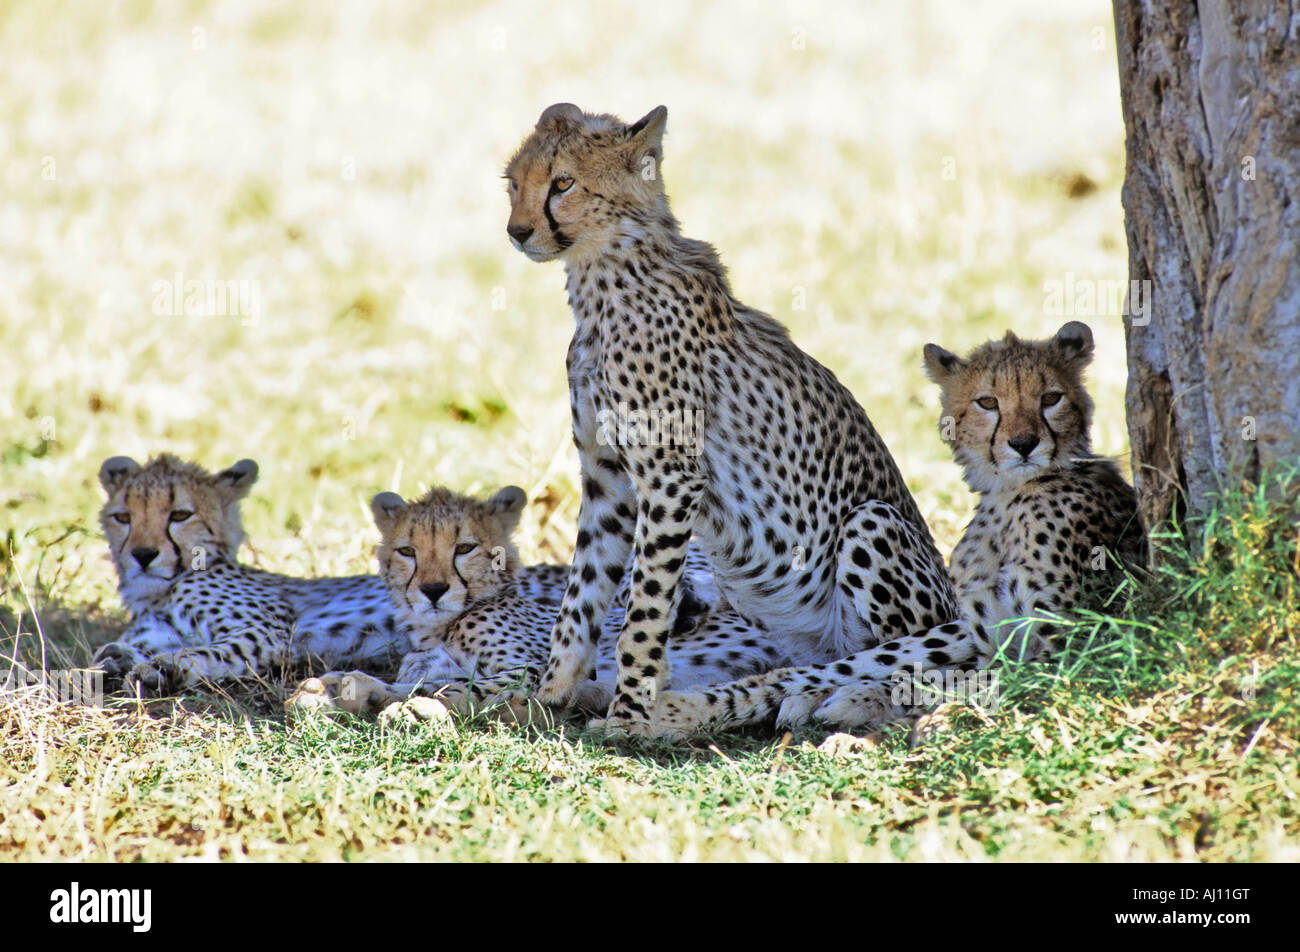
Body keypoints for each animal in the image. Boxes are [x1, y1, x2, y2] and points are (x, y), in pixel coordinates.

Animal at [286, 484, 792, 719]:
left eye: (464, 548)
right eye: (407, 551)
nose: (432, 590)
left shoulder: (537, 668)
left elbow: (458, 687)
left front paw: (411, 705)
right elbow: (421, 677)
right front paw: (342, 689)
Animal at [503, 102, 961, 730]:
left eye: (563, 184)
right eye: (512, 184)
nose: (517, 231)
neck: (605, 279)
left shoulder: (671, 476)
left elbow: (645, 606)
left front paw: (629, 714)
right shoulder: (607, 477)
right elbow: (582, 595)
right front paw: (549, 696)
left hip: (874, 522)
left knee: (919, 659)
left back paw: (845, 700)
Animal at [633, 320, 1146, 737]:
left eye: (1050, 398)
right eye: (988, 402)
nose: (1024, 443)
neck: (1009, 498)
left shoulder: (1060, 644)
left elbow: (959, 678)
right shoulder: (984, 630)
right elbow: (922, 671)